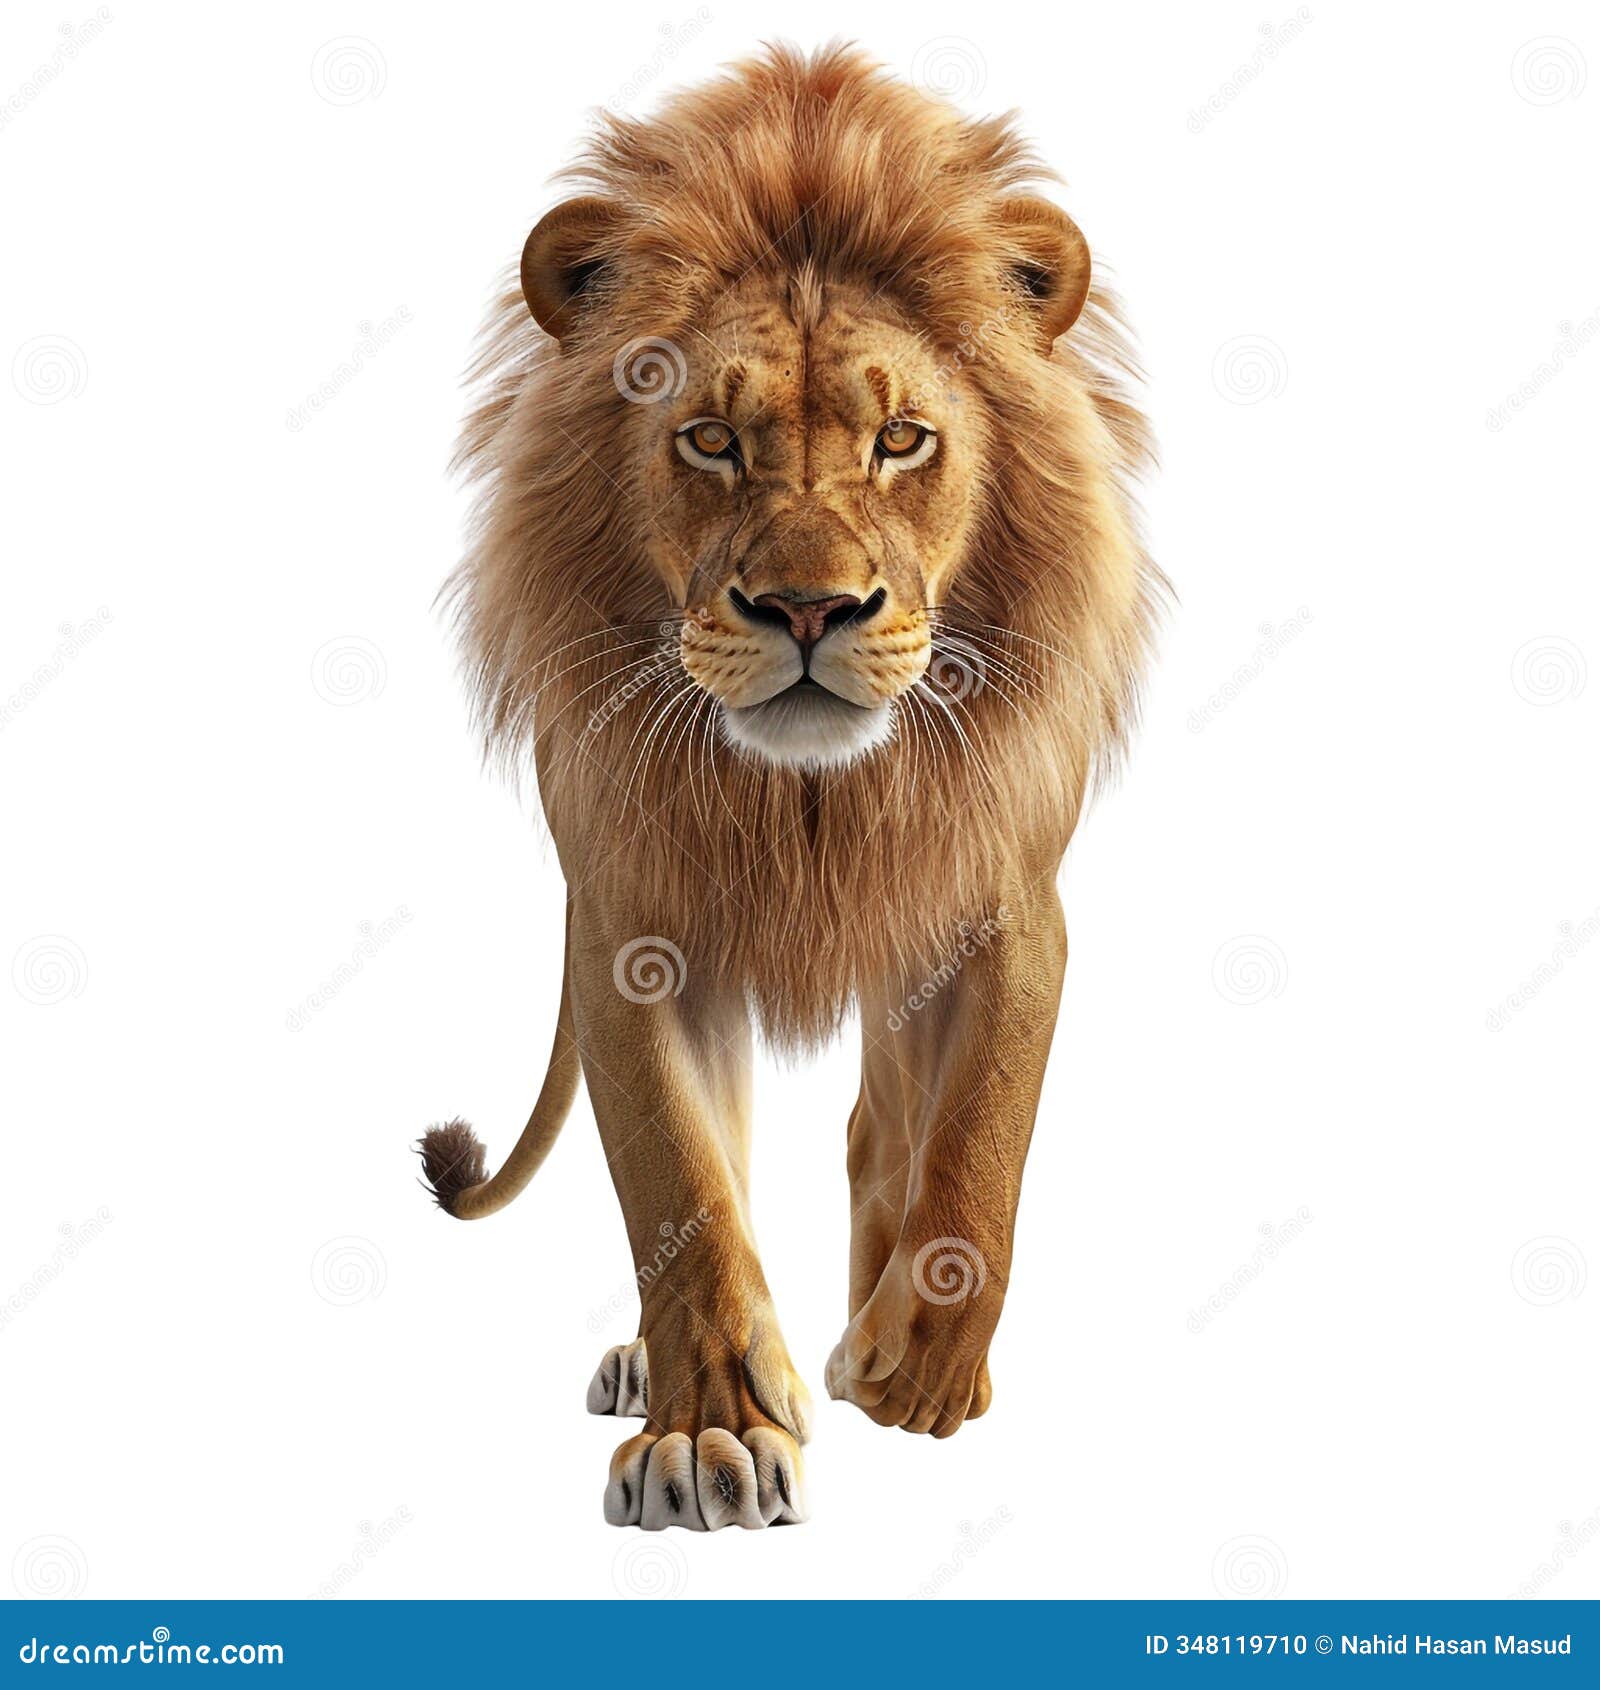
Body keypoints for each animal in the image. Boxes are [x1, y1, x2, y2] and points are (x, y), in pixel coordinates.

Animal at [416, 42, 1161, 1532]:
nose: (811, 608)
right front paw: (709, 1430)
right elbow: (677, 1181)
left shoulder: (1002, 897)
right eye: (709, 438)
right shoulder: (631, 921)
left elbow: (978, 1145)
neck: (806, 800)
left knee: (884, 1126)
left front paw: (913, 1364)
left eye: (902, 439)